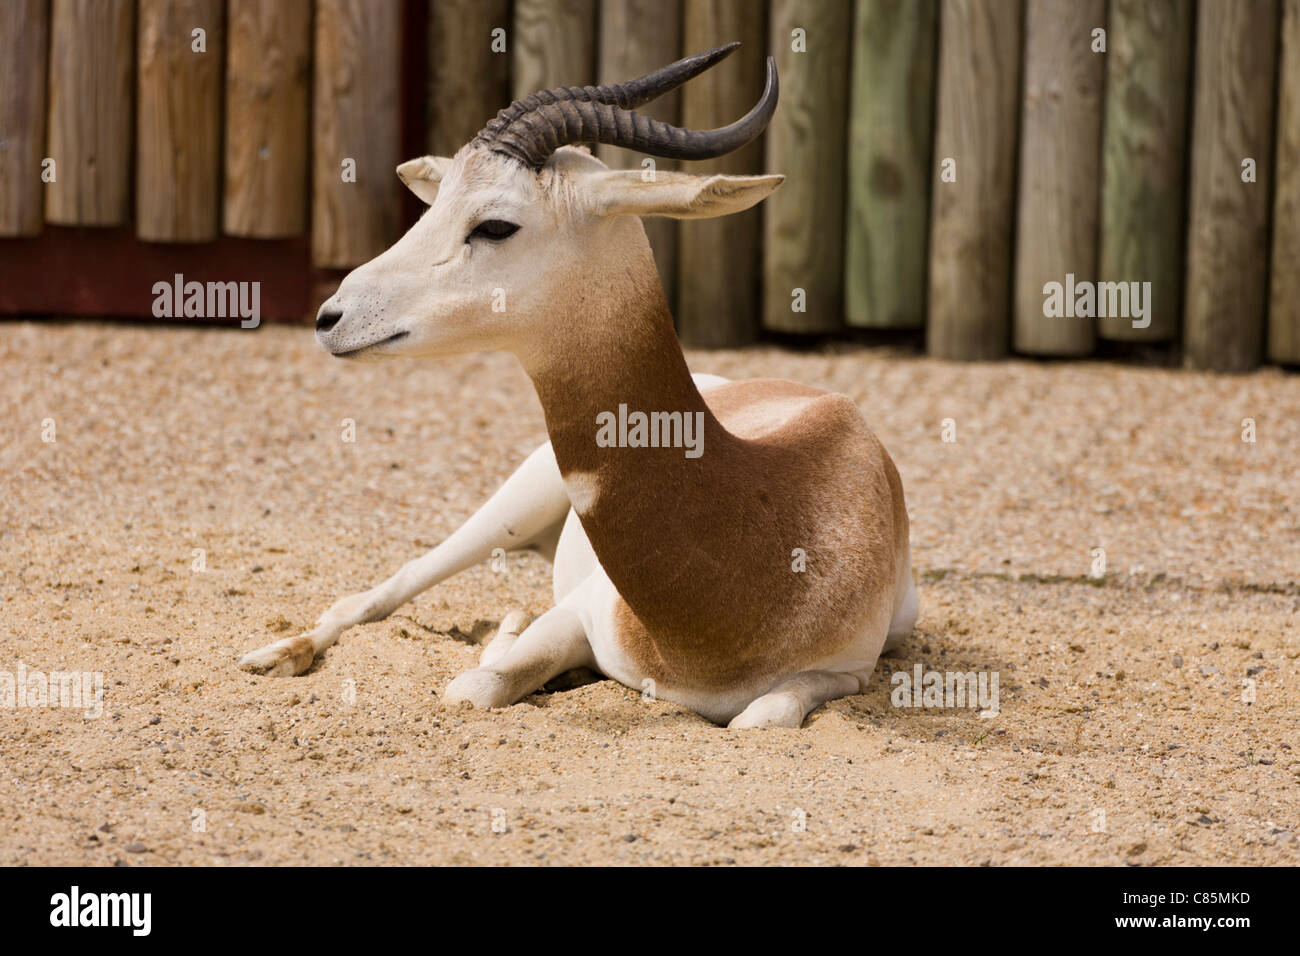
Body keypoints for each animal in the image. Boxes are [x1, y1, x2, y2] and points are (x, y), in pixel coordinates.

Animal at [238, 44, 918, 728]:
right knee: (378, 592)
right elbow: (472, 687)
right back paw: (271, 655)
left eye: (495, 226)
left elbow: (761, 717)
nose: (331, 317)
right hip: (516, 502)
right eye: (436, 207)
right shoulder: (579, 612)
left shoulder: (844, 672)